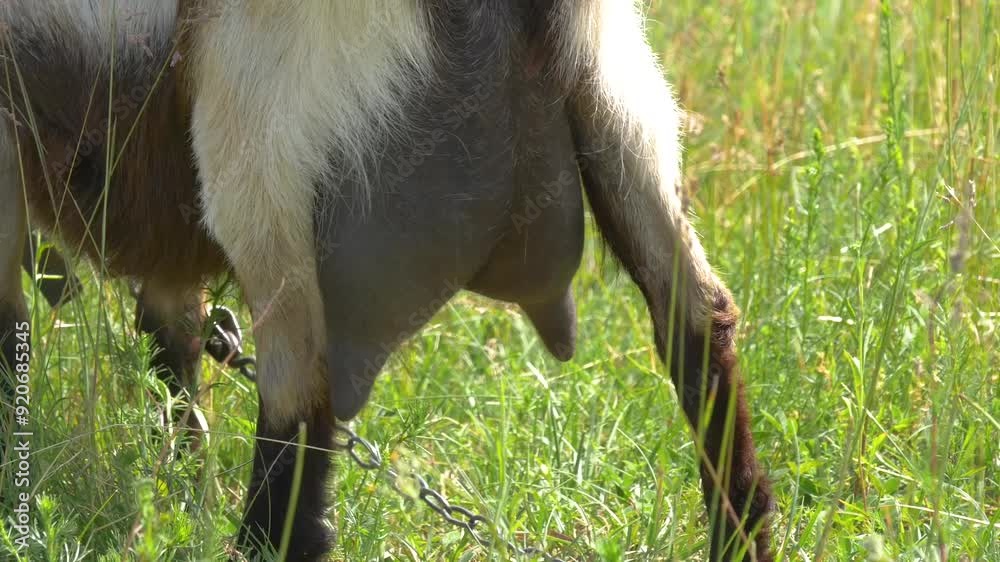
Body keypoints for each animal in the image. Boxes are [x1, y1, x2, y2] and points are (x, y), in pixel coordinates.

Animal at [0, 1, 774, 560]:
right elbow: (171, 342)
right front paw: (182, 486)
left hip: (261, 140)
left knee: (301, 385)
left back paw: (263, 542)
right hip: (620, 99)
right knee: (699, 318)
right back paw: (741, 535)